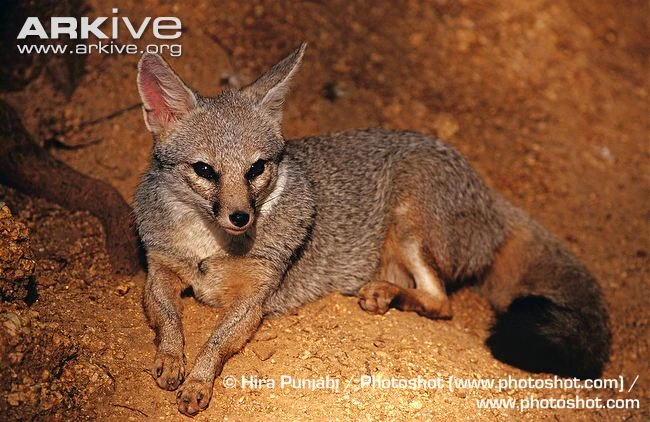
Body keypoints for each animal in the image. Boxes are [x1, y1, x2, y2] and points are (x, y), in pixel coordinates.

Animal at [133, 44, 611, 416]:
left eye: (256, 169)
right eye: (204, 170)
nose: (240, 217)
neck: (208, 249)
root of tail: (490, 194)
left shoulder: (254, 300)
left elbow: (216, 341)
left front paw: (198, 382)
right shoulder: (158, 269)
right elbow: (168, 316)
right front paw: (171, 360)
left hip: (408, 223)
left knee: (440, 302)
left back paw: (385, 293)